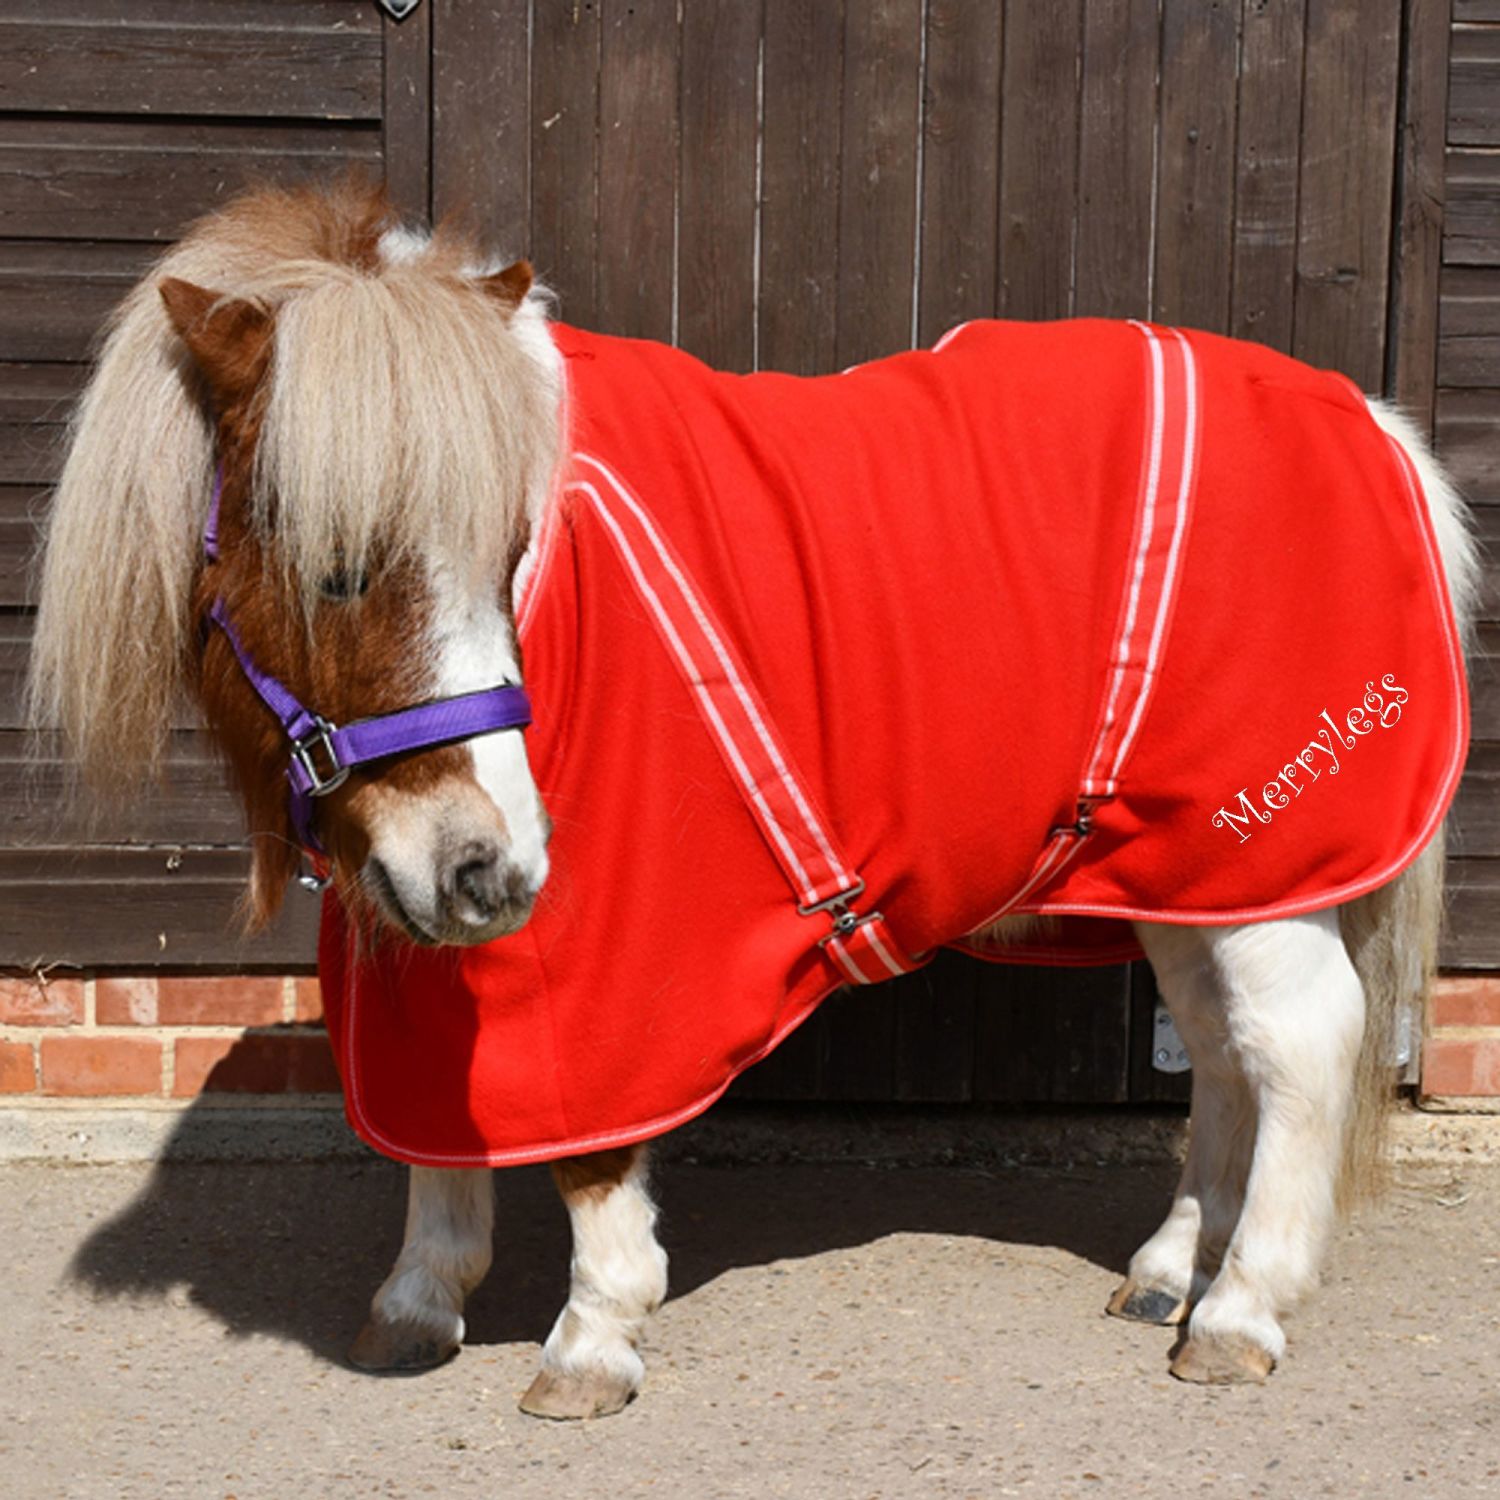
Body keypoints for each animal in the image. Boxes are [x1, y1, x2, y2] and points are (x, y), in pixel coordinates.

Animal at [28, 181, 1476, 1418]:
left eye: (511, 549)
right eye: (333, 572)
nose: (492, 872)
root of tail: (1374, 426)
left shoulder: (605, 951)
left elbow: (589, 1146)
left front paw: (594, 1335)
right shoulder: (429, 938)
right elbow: (440, 1120)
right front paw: (420, 1300)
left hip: (1260, 856)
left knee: (1294, 1044)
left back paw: (1240, 1311)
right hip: (1191, 871)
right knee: (1223, 1055)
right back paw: (1175, 1270)